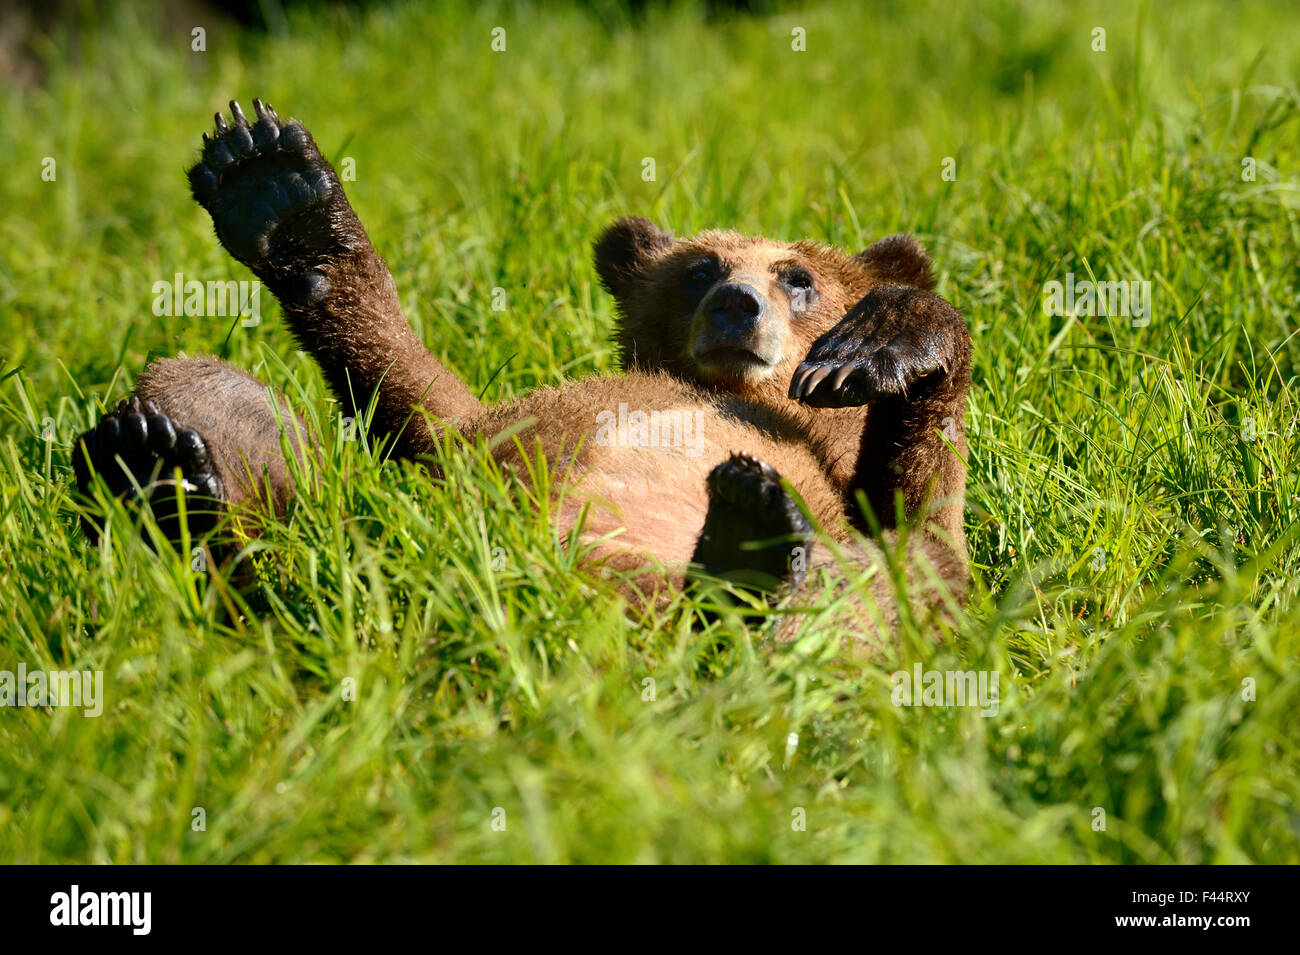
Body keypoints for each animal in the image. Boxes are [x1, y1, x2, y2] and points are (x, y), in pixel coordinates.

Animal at [71, 99, 972, 650]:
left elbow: (924, 528)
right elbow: (421, 398)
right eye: (698, 268)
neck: (735, 398)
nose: (736, 304)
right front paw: (279, 194)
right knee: (214, 400)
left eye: (799, 276)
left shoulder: (840, 479)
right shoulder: (497, 427)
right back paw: (159, 482)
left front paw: (885, 342)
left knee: (853, 581)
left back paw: (741, 549)